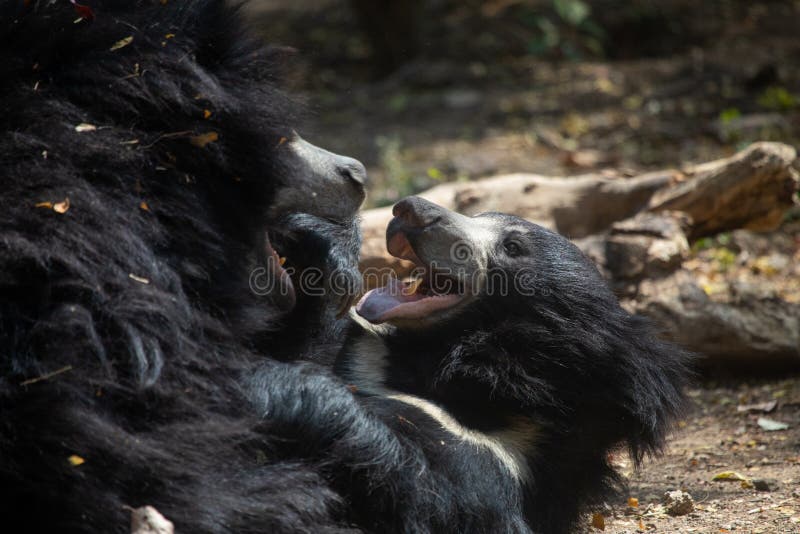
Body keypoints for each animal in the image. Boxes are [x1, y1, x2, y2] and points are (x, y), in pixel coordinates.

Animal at [249, 196, 692, 533]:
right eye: (479, 216)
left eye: (512, 247)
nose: (410, 210)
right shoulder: (359, 352)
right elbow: (301, 342)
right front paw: (316, 240)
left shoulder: (500, 460)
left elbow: (434, 496)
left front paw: (276, 388)